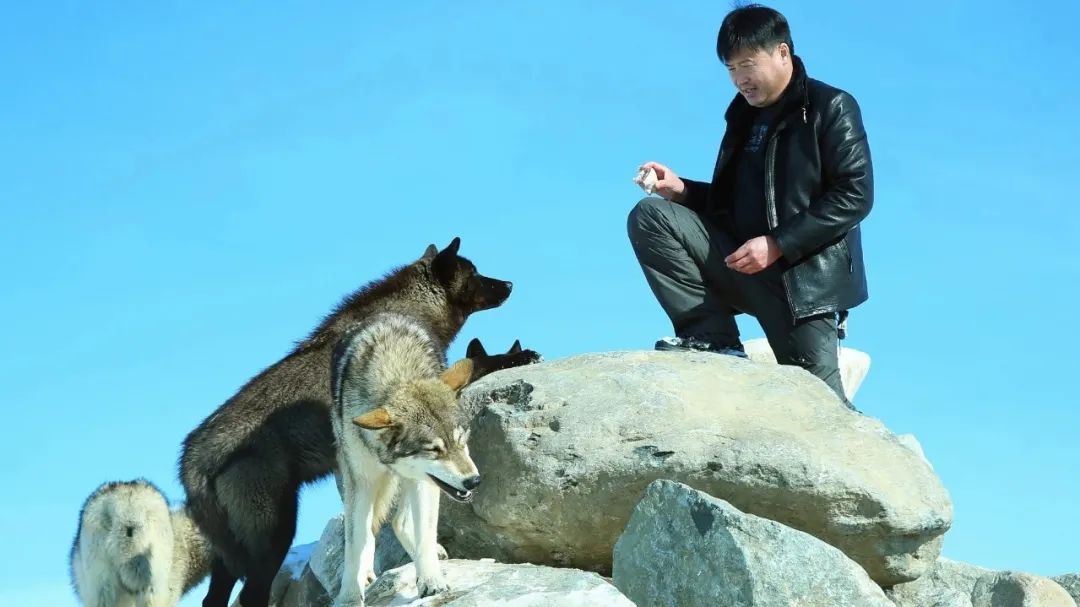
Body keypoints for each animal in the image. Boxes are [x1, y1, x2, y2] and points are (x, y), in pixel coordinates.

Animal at [179, 237, 514, 607]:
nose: (509, 284)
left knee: (214, 597)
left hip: (231, 554)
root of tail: (190, 459)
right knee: (252, 592)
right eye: (476, 273)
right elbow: (480, 363)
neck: (408, 308)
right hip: (275, 535)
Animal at [330, 324, 541, 606]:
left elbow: (425, 536)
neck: (396, 370)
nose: (474, 481)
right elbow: (356, 542)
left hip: (416, 480)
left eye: (461, 439)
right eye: (434, 450)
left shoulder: (425, 482)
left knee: (400, 522)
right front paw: (349, 596)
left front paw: (431, 581)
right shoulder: (361, 481)